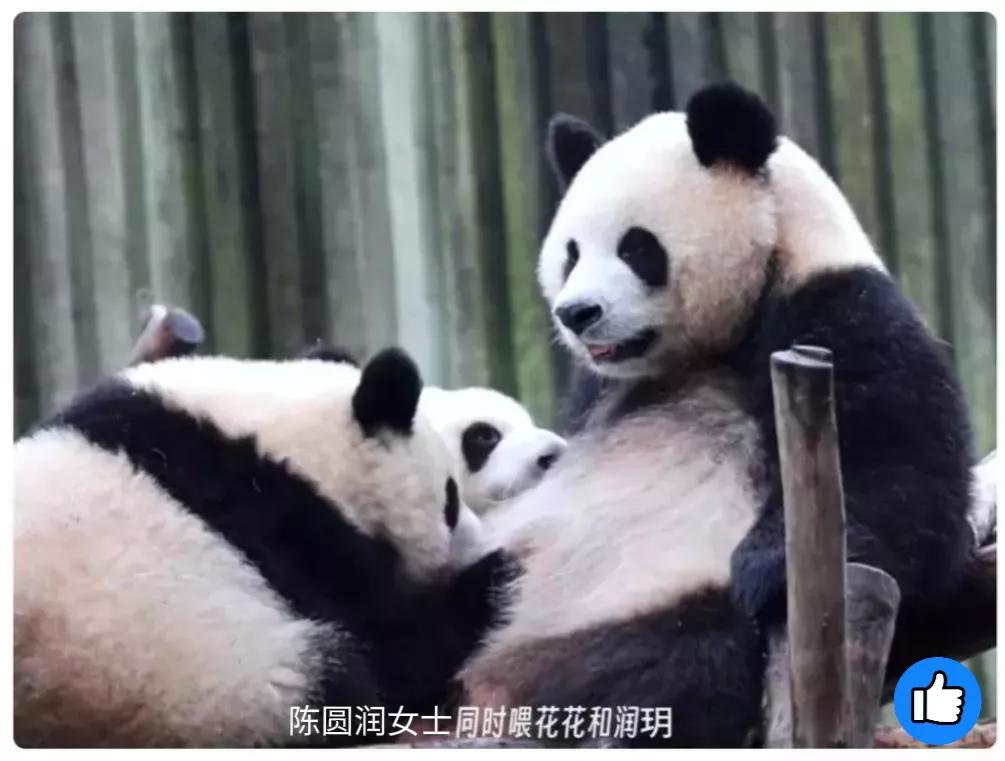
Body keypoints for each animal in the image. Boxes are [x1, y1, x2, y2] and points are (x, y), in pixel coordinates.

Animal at [14, 347, 507, 747]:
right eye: (449, 499)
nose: (476, 539)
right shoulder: (278, 520)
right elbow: (387, 632)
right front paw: (493, 575)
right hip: (193, 680)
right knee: (346, 681)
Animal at [458, 83, 975, 747]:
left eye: (636, 247)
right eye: (571, 253)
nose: (577, 313)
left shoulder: (840, 311)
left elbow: (902, 472)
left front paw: (767, 567)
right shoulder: (594, 392)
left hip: (637, 600)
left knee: (676, 662)